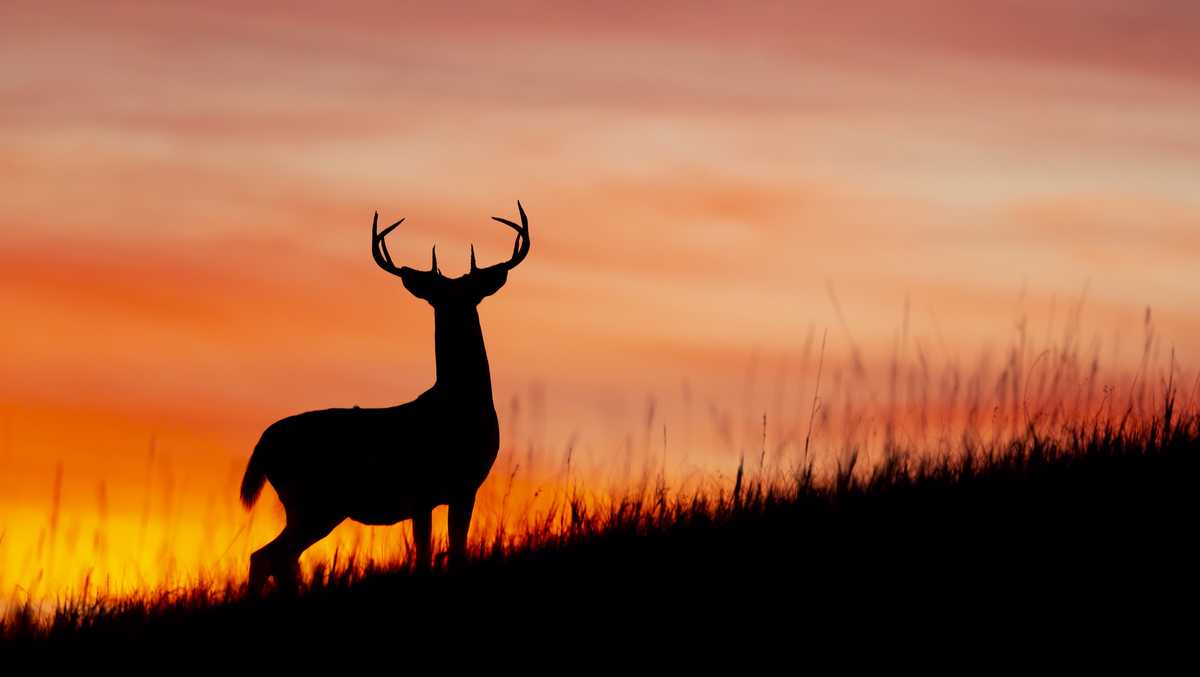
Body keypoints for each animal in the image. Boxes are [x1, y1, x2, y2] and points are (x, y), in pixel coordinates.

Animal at [238, 201, 531, 595]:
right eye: (439, 296)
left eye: (471, 293)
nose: (455, 307)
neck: (459, 405)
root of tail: (263, 443)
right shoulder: (431, 488)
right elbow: (431, 554)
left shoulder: (456, 489)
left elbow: (449, 551)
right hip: (315, 500)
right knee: (270, 555)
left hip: (311, 504)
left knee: (273, 556)